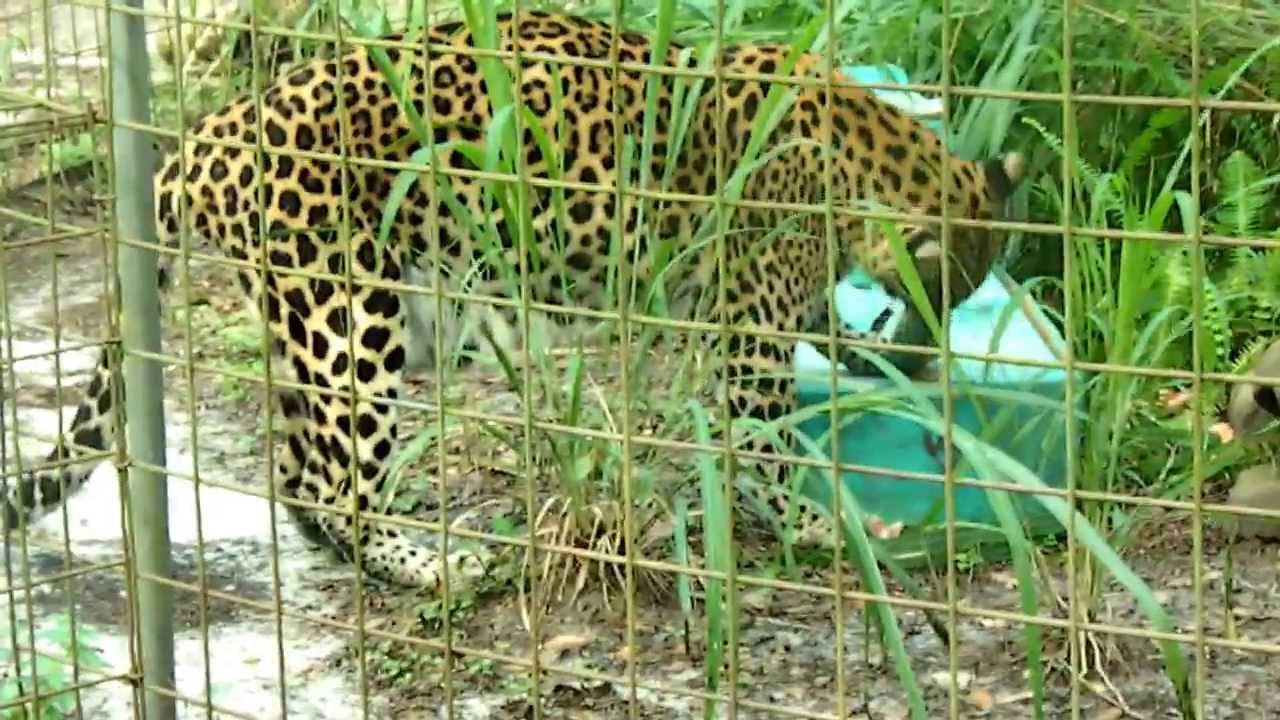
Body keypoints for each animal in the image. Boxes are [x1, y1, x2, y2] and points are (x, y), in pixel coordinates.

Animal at [2, 11, 1027, 590]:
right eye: (948, 290)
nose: (927, 351)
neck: (871, 149)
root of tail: (197, 142)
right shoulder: (750, 326)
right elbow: (763, 443)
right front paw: (824, 525)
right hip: (353, 316)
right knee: (334, 480)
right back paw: (436, 568)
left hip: (345, 321)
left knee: (295, 473)